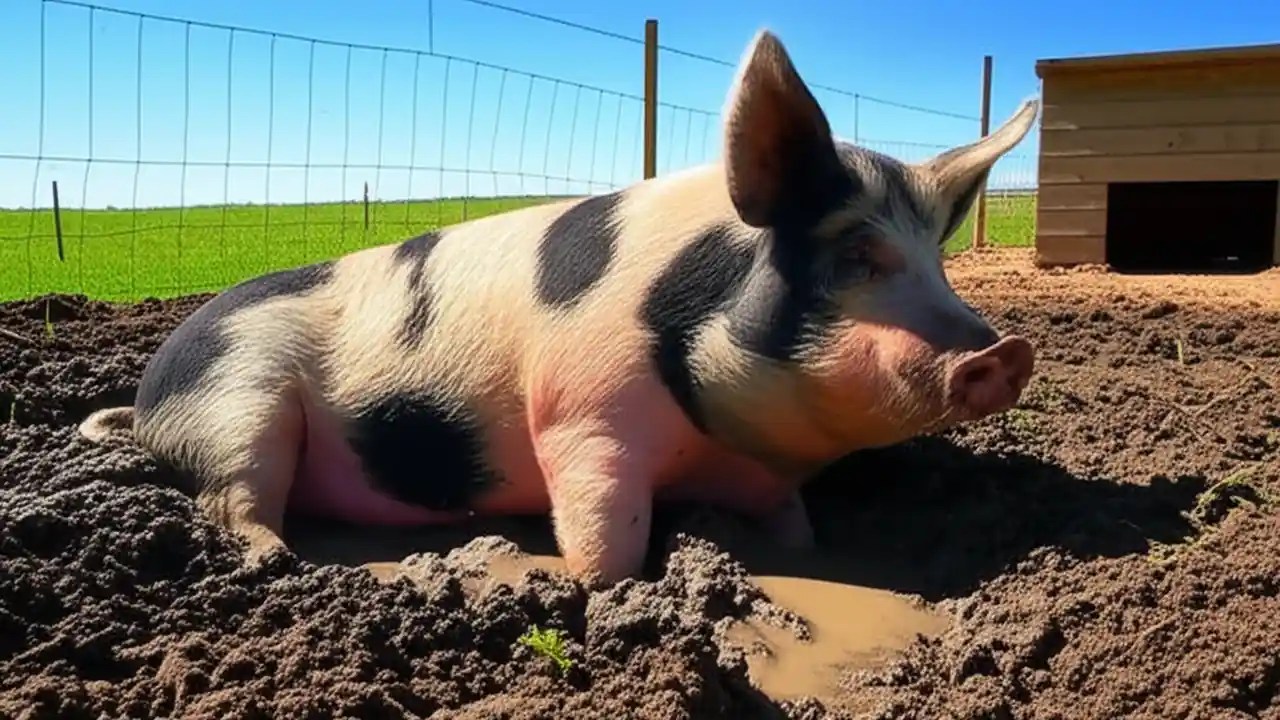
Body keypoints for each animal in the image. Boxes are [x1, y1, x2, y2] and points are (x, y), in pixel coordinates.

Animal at [78, 29, 1038, 588]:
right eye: (853, 257)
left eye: (939, 264)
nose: (1003, 351)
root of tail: (148, 392)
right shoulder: (582, 413)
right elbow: (603, 533)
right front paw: (603, 591)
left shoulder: (768, 484)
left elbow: (796, 538)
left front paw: (807, 559)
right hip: (235, 401)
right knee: (235, 499)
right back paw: (288, 565)